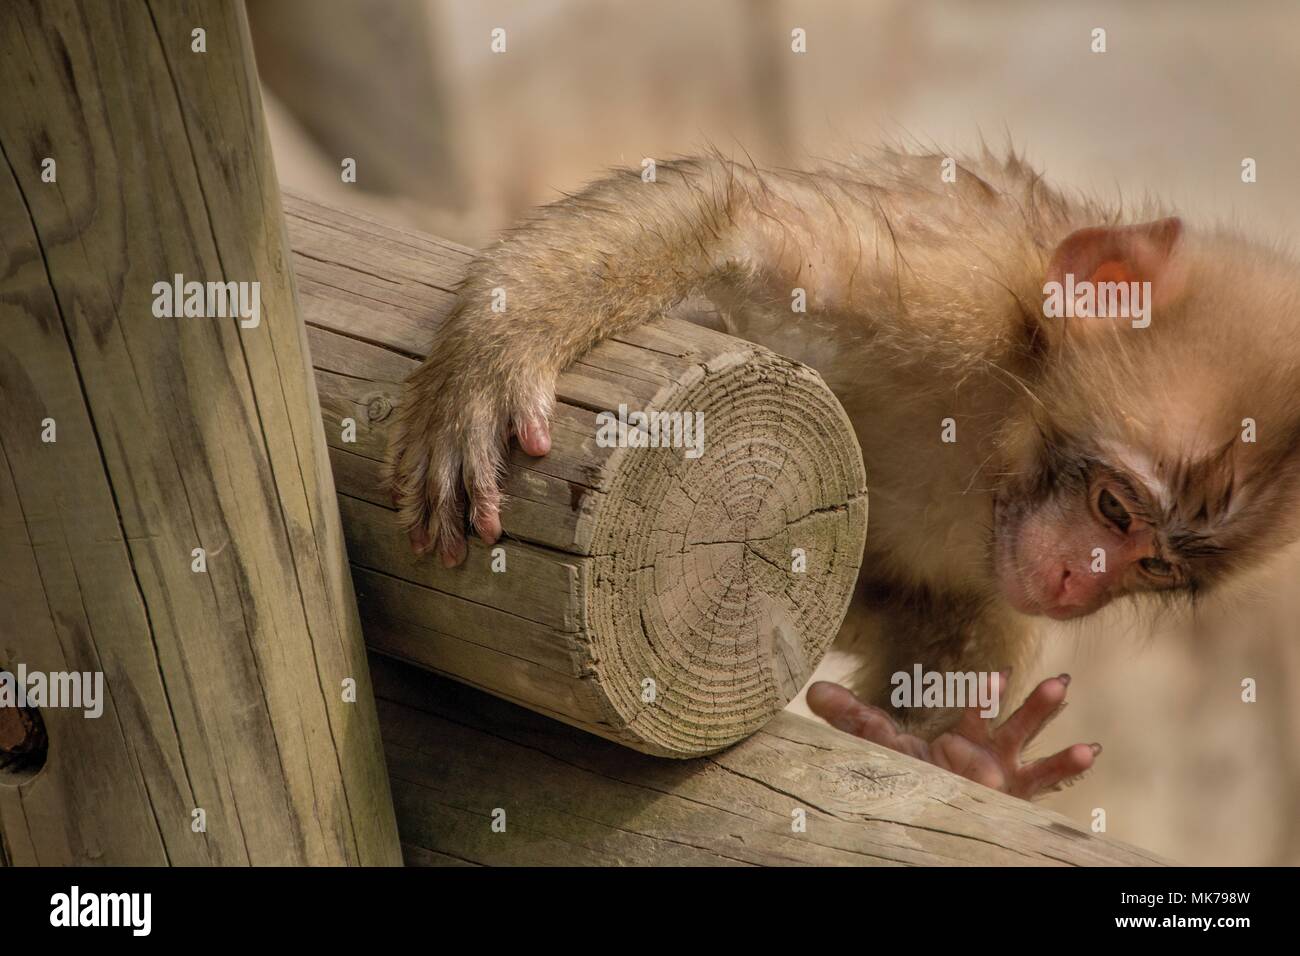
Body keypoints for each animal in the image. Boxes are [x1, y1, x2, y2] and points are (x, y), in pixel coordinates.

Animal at [388, 146, 1300, 799]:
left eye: (1154, 567)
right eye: (1114, 506)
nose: (1078, 584)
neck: (1004, 416)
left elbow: (958, 611)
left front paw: (967, 763)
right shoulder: (957, 290)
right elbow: (744, 217)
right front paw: (501, 343)